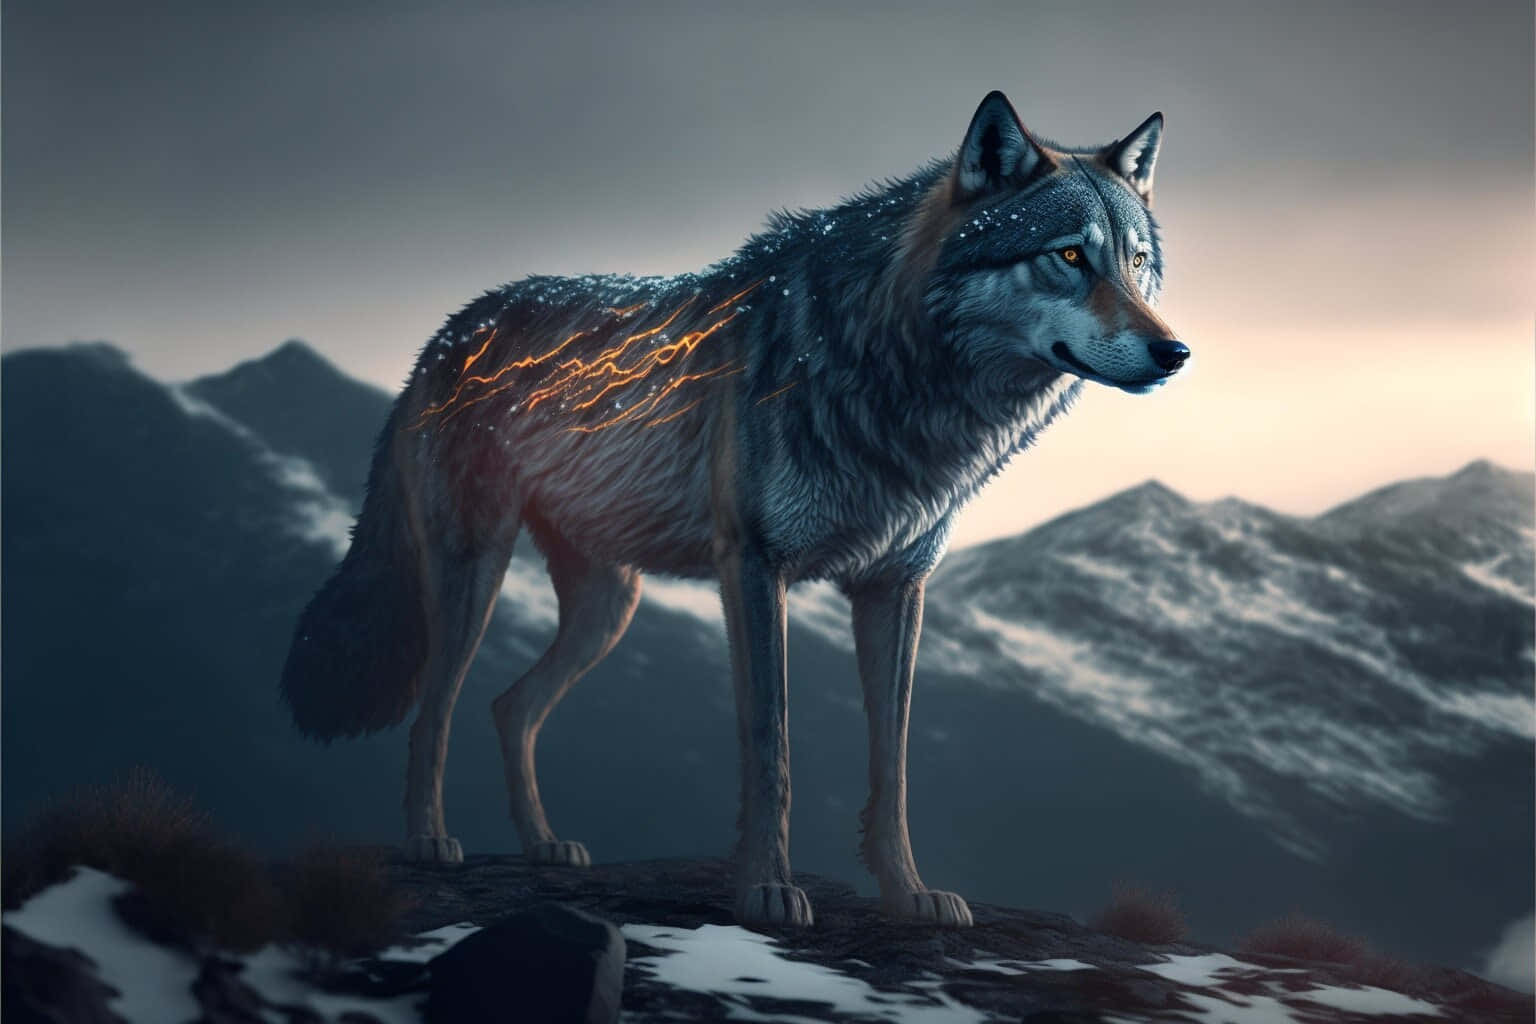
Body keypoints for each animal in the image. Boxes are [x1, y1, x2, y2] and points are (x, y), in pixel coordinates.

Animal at [280, 90, 1187, 929]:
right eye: (1069, 256)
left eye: (1138, 262)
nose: (1174, 352)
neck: (897, 372)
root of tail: (447, 331)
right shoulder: (754, 568)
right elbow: (770, 748)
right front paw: (765, 890)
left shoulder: (897, 587)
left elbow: (891, 768)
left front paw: (908, 895)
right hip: (475, 575)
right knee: (433, 712)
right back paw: (428, 842)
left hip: (608, 607)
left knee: (511, 707)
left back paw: (545, 846)